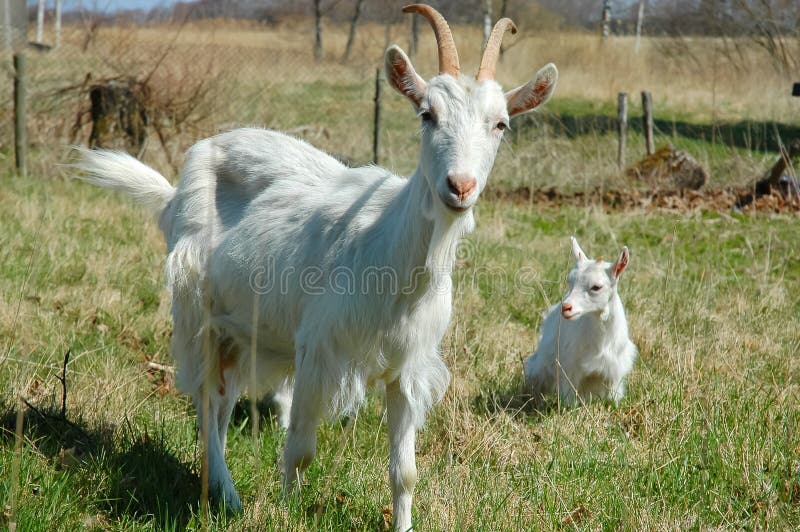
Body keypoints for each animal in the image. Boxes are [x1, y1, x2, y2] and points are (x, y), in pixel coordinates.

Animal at [73, 4, 557, 529]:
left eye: (501, 124)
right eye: (427, 114)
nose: (460, 186)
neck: (391, 258)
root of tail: (173, 195)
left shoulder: (408, 367)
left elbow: (405, 472)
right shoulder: (318, 348)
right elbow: (300, 450)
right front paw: (287, 510)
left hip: (241, 329)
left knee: (221, 406)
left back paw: (223, 492)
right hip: (197, 313)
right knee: (206, 402)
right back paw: (230, 496)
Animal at [524, 237, 636, 407]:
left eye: (596, 287)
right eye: (570, 281)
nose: (566, 307)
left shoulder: (615, 373)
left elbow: (613, 400)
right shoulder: (569, 370)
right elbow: (569, 401)